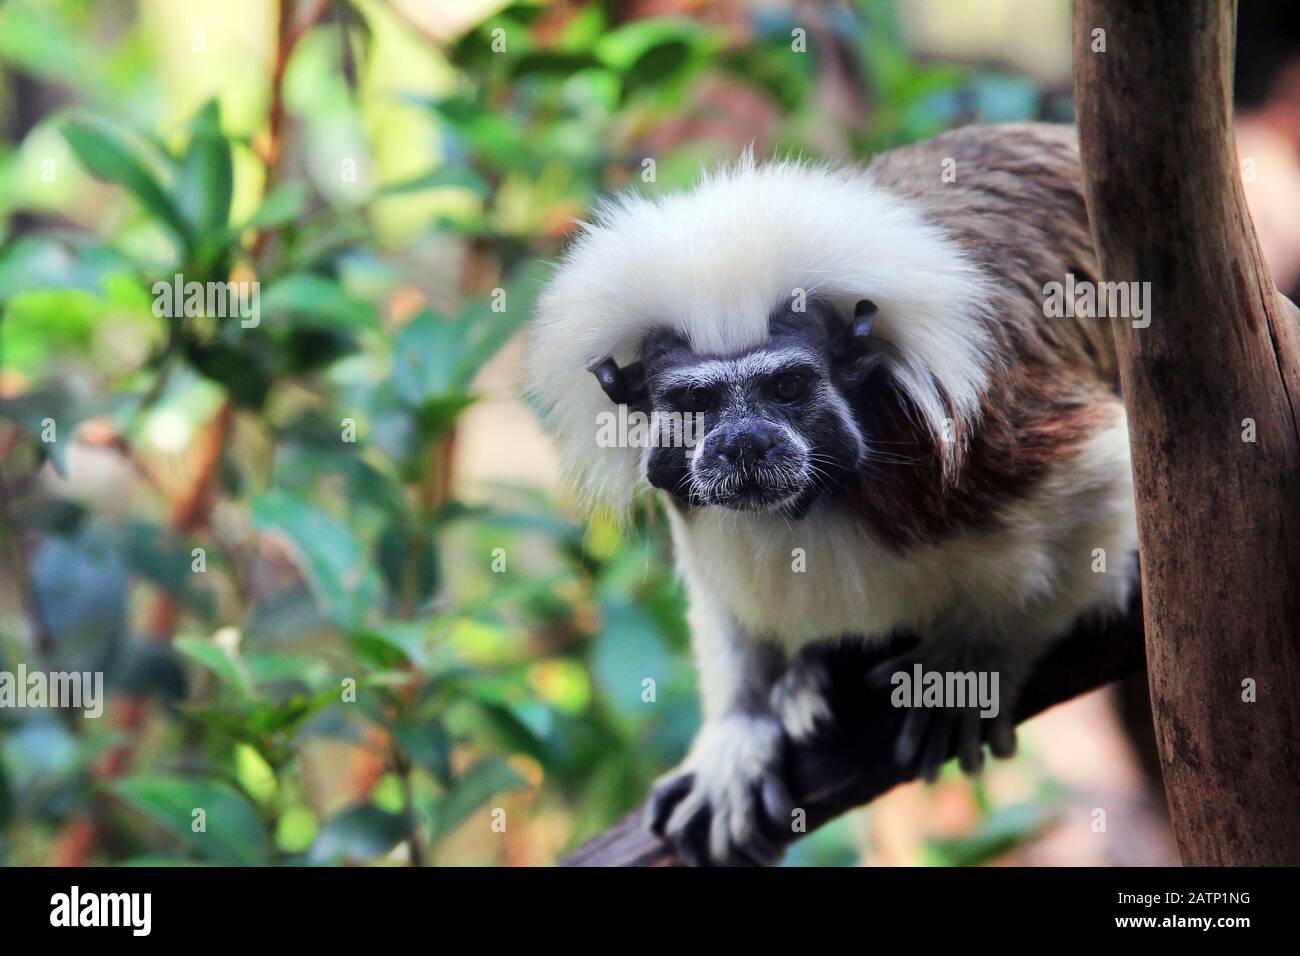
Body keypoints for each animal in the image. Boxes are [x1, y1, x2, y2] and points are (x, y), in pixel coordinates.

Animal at [526, 122, 1139, 866]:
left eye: (788, 387)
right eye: (697, 405)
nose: (745, 444)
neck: (817, 497)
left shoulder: (985, 438)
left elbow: (1102, 482)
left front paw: (971, 665)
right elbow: (724, 599)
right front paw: (739, 731)